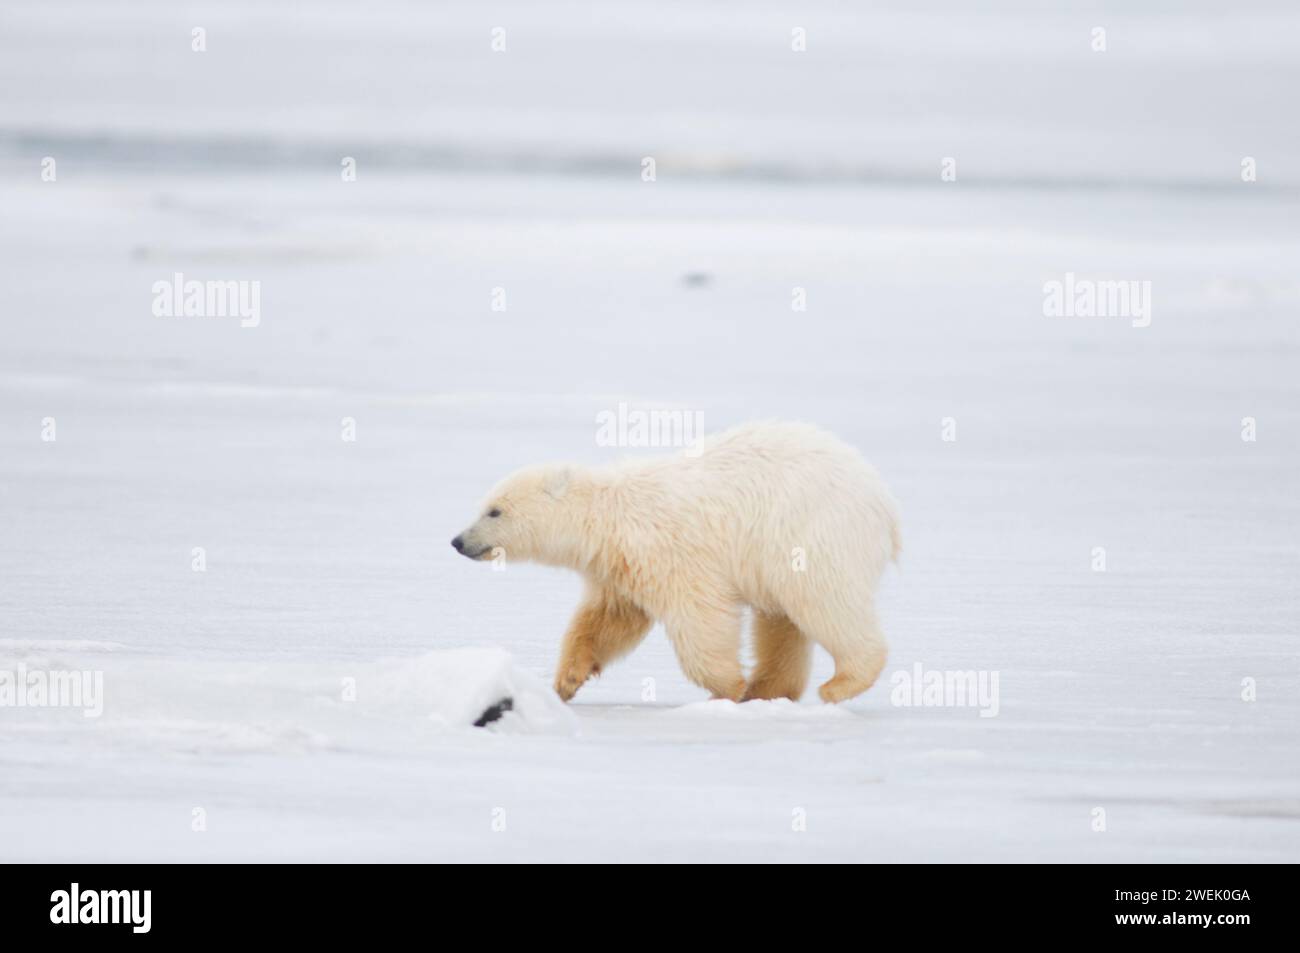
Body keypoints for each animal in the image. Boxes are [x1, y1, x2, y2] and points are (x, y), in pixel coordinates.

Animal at [451, 421, 901, 704]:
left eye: (494, 511)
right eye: (484, 506)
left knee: (825, 603)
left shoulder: (668, 550)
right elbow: (607, 620)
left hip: (811, 534)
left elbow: (700, 617)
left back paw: (840, 684)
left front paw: (727, 686)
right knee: (781, 621)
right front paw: (567, 680)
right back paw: (768, 689)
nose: (458, 541)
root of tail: (883, 501)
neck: (609, 515)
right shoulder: (618, 566)